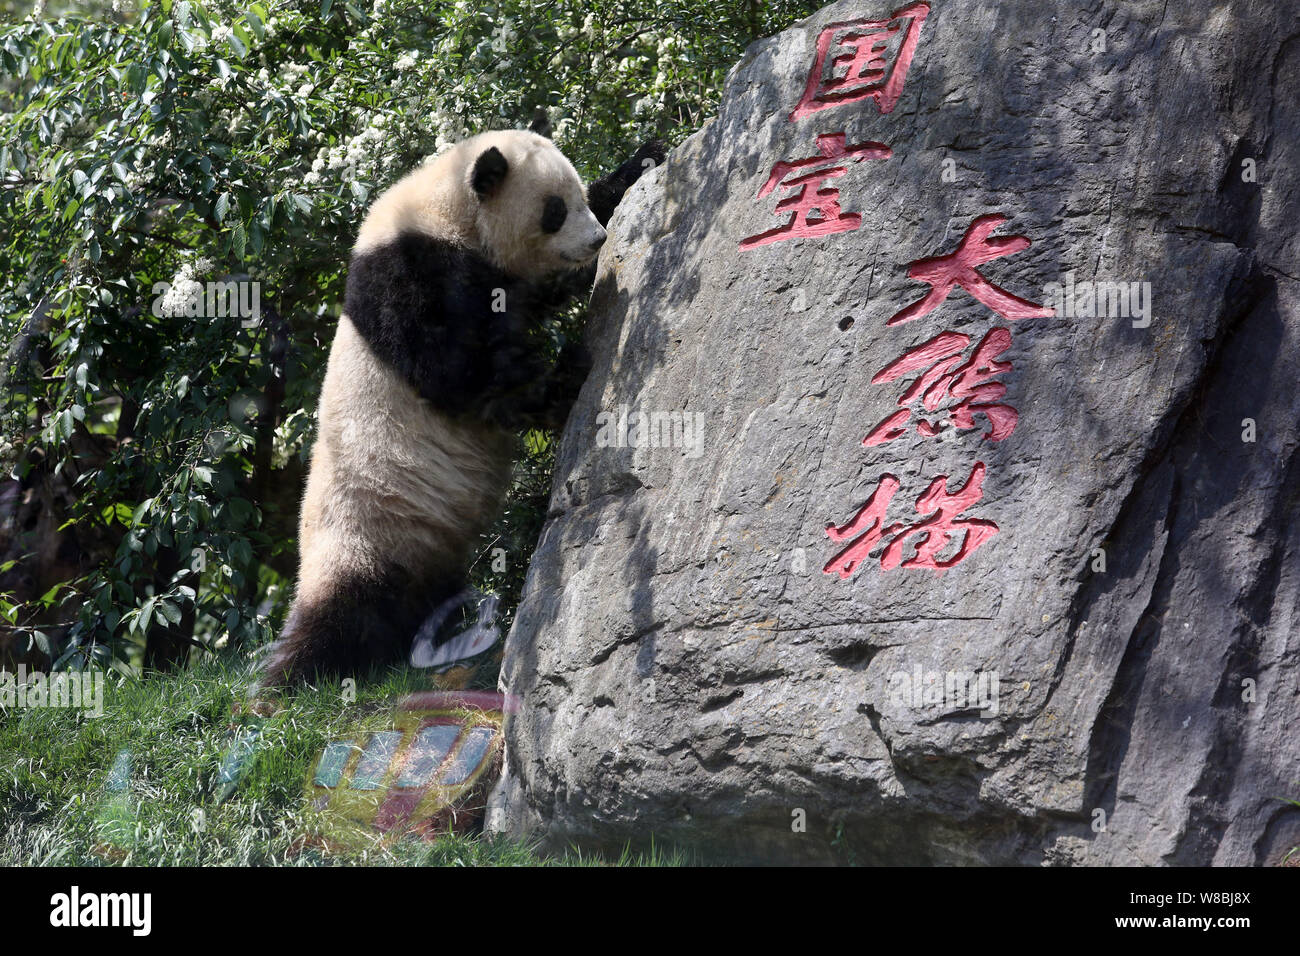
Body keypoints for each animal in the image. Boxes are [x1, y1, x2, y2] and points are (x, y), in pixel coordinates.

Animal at [259, 127, 664, 687]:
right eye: (554, 210)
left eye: (579, 195)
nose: (598, 241)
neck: (449, 211)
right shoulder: (410, 272)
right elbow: (451, 369)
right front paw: (555, 378)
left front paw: (640, 164)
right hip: (364, 529)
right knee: (344, 614)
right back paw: (295, 674)